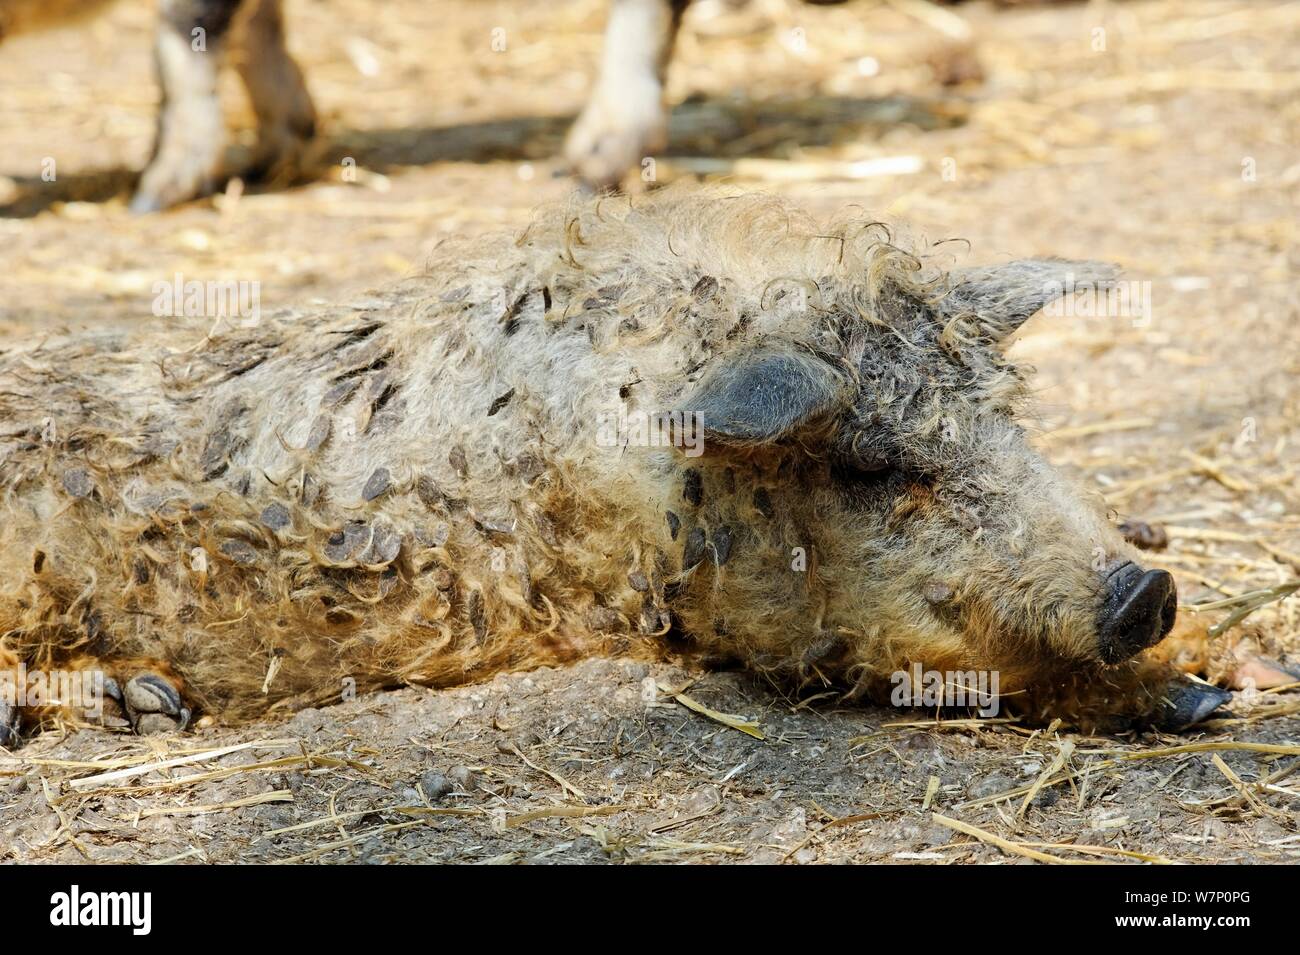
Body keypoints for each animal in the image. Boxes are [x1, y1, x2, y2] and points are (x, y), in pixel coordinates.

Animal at [0, 190, 1229, 744]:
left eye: (1006, 421)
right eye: (876, 464)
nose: (1146, 590)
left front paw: (1215, 680)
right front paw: (1197, 696)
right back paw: (136, 705)